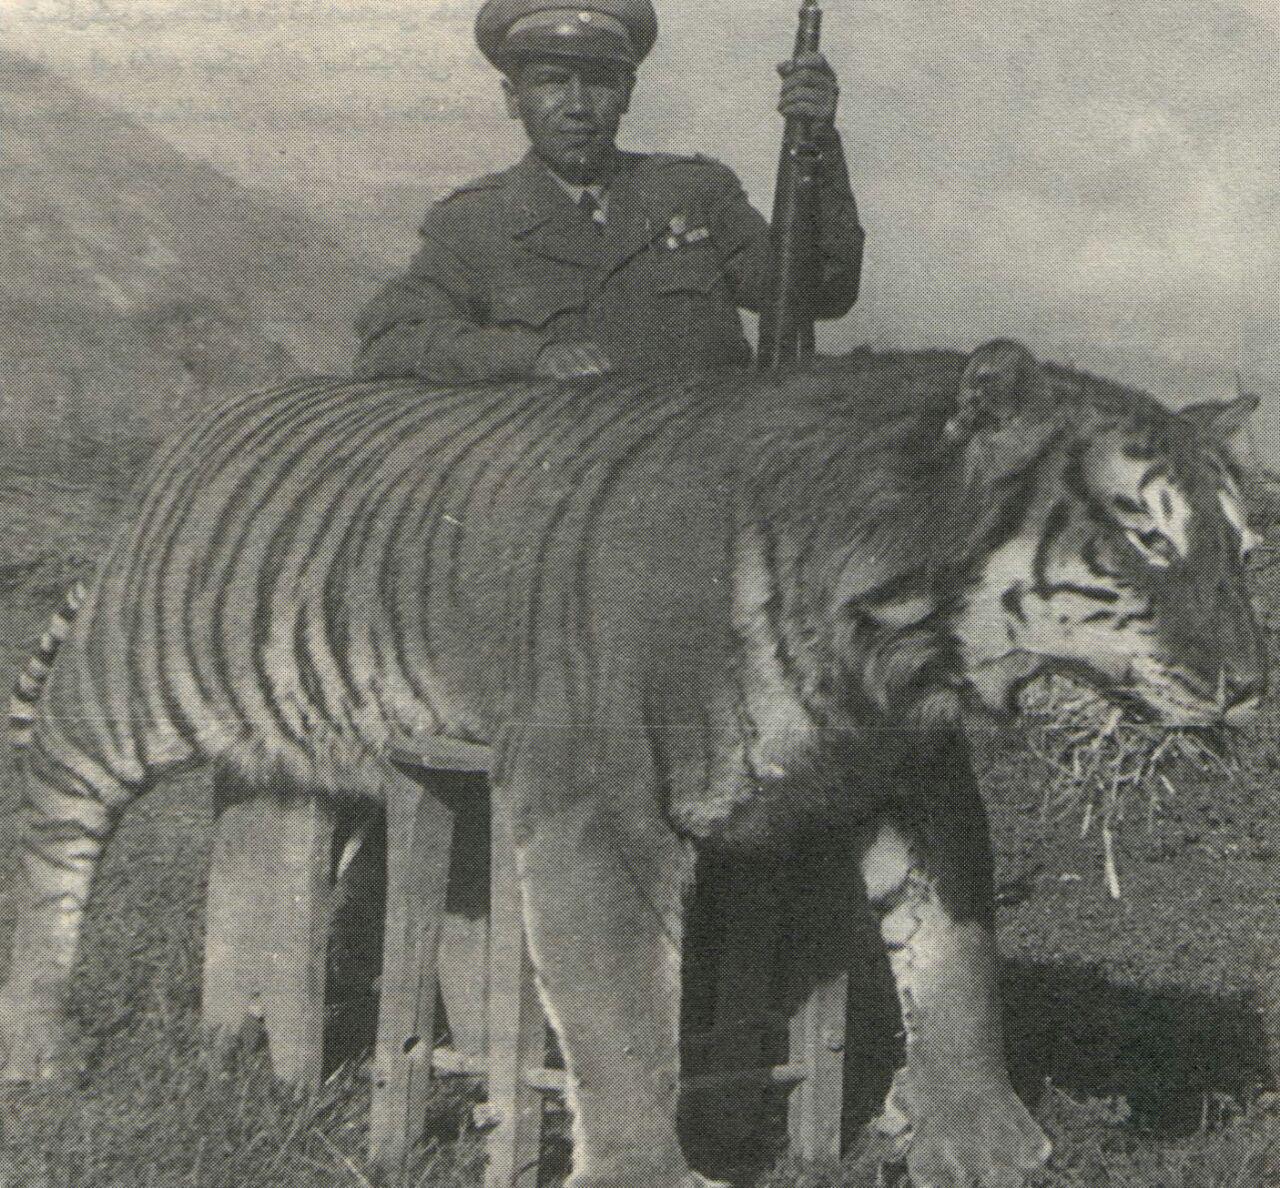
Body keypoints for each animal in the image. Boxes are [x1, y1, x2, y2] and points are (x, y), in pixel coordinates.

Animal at [0, 340, 1264, 1188]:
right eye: (1145, 538)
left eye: (1244, 548)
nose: (1253, 682)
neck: (896, 655)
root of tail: (208, 418)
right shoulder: (597, 812)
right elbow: (620, 1013)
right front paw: (643, 1168)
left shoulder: (914, 778)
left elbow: (954, 965)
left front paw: (975, 1135)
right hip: (123, 691)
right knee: (53, 829)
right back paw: (40, 1045)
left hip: (308, 768)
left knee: (311, 889)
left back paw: (268, 1053)